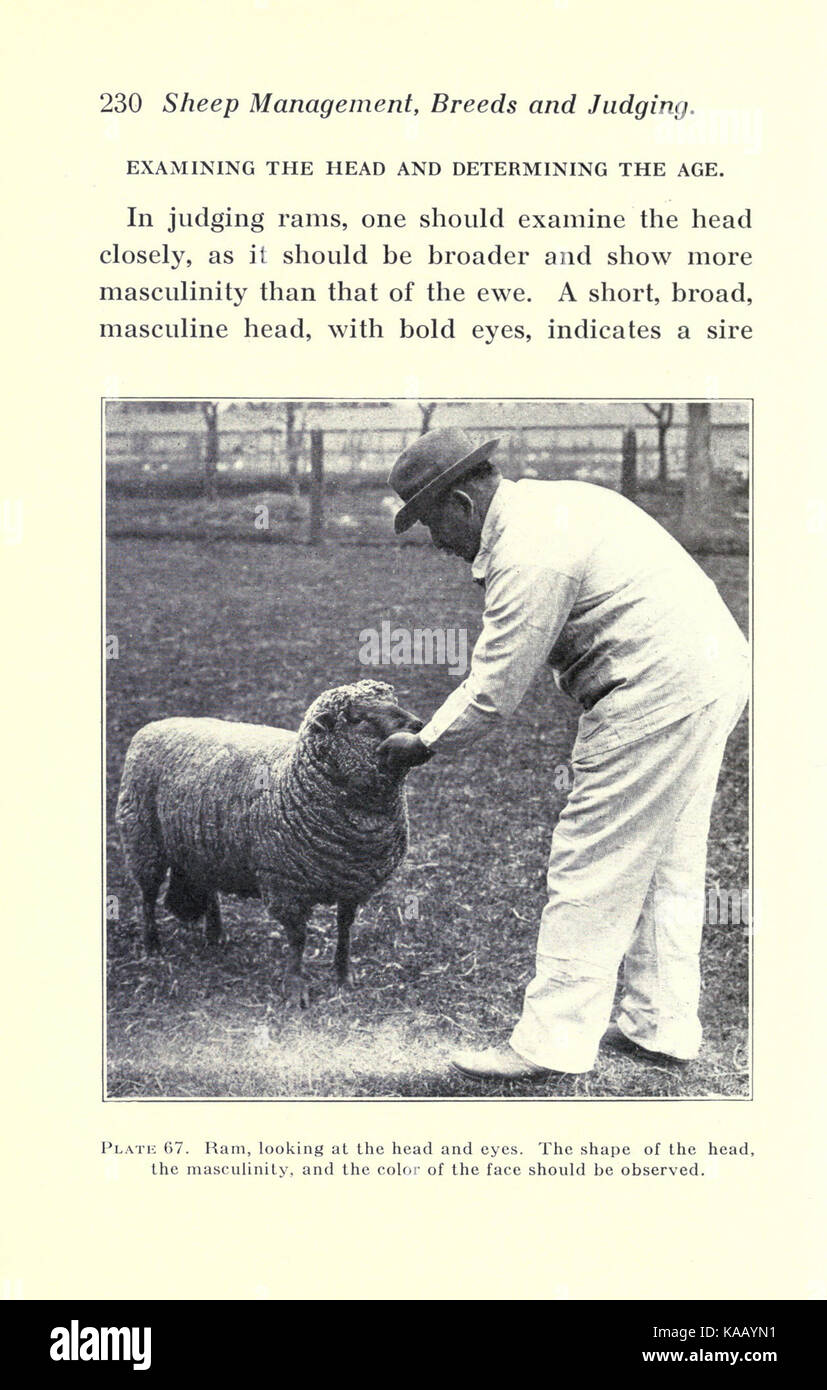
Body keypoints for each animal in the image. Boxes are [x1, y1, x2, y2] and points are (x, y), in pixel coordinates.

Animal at [115, 679, 423, 1006]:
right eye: (356, 718)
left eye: (394, 701)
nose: (418, 726)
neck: (293, 777)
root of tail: (159, 722)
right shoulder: (286, 884)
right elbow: (298, 938)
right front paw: (296, 987)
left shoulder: (352, 882)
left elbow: (344, 929)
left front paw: (342, 975)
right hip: (142, 837)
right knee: (147, 897)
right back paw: (152, 945)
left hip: (205, 846)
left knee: (208, 887)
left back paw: (215, 933)